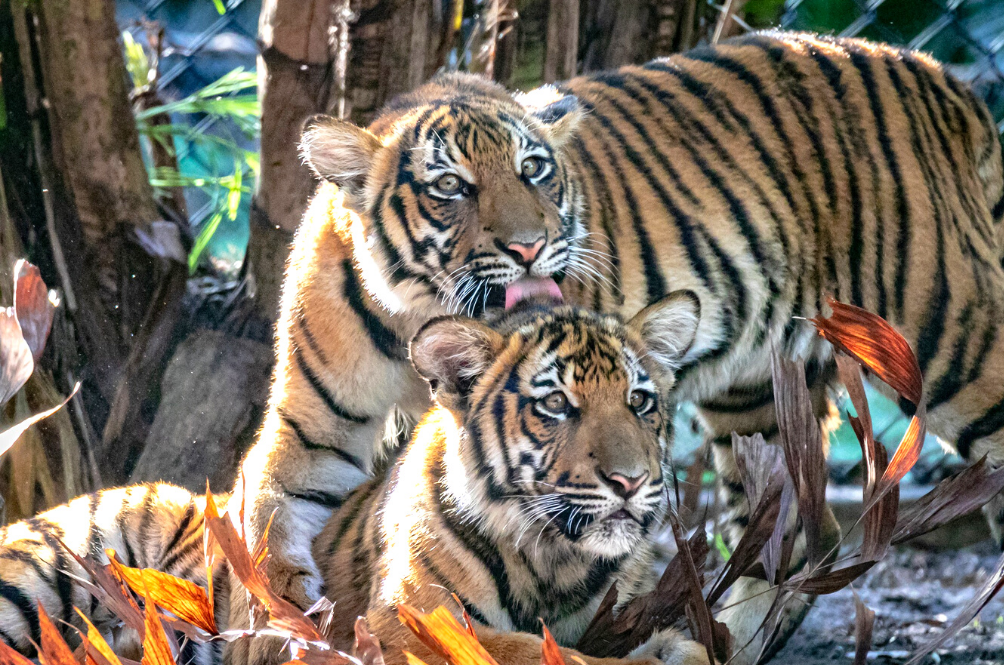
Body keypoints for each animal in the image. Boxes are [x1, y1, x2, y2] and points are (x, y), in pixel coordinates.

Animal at [313, 294, 707, 665]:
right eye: (556, 402)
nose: (630, 481)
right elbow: (537, 652)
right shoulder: (408, 621)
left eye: (638, 400)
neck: (554, 565)